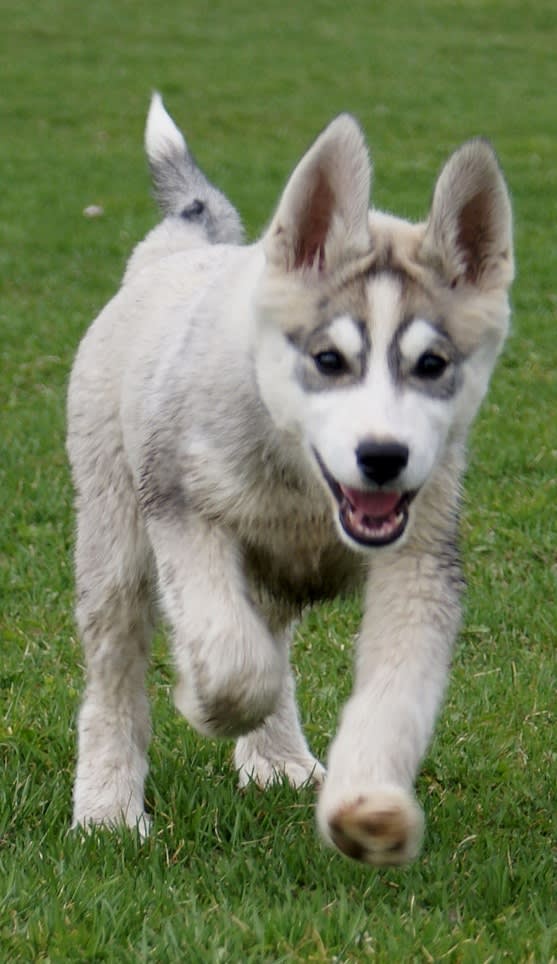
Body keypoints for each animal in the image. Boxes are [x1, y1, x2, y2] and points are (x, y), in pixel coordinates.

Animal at [67, 93, 513, 865]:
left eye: (431, 365)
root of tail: (178, 250)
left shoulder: (420, 561)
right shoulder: (182, 514)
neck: (304, 484)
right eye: (329, 359)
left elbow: (394, 695)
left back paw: (275, 758)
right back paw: (107, 807)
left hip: (269, 567)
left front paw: (369, 806)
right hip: (114, 534)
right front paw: (202, 701)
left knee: (269, 633)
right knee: (116, 674)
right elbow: (230, 656)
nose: (383, 456)